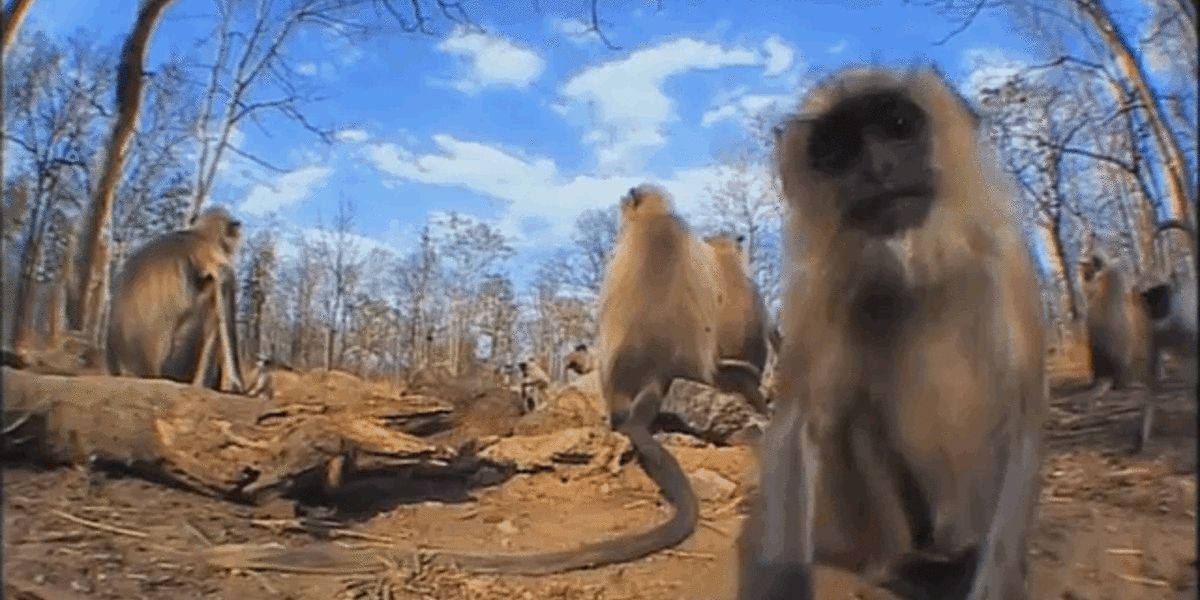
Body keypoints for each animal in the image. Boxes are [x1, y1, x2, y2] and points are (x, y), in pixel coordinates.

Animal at [106, 206, 245, 393]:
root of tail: (127, 369)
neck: (199, 235)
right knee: (213, 294)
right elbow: (223, 281)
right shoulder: (217, 261)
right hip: (172, 363)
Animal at [739, 66, 1047, 600]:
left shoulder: (1003, 259)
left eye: (897, 125)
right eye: (837, 151)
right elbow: (801, 424)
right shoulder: (827, 289)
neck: (918, 268)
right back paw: (899, 567)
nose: (878, 167)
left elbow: (1020, 419)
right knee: (858, 418)